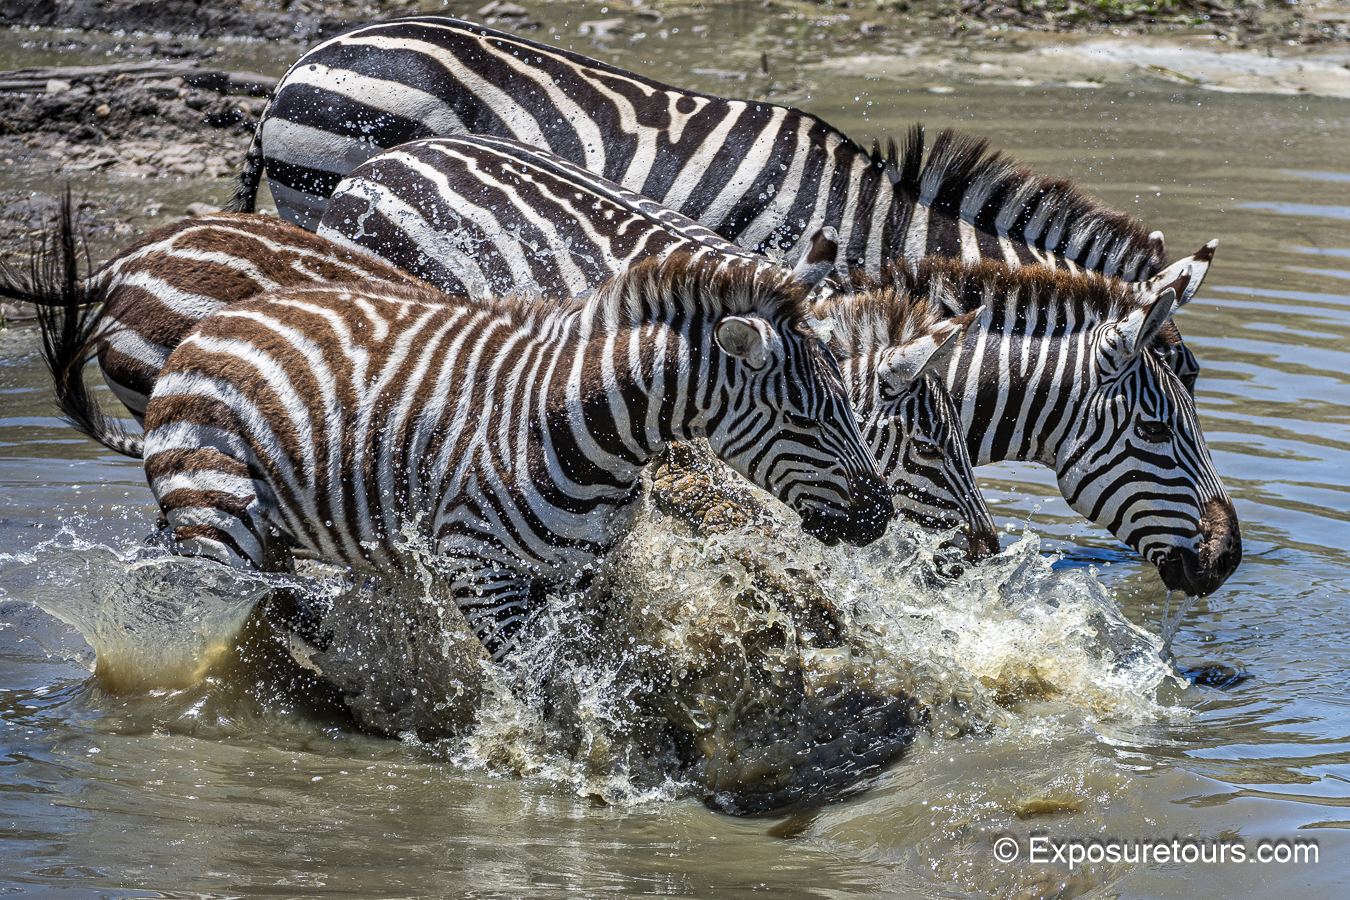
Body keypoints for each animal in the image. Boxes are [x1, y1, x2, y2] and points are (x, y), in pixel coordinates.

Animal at [37, 238, 894, 658]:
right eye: (806, 420)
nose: (881, 518)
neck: (582, 426)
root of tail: (206, 330)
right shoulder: (478, 570)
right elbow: (544, 694)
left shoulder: (578, 573)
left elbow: (586, 676)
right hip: (220, 514)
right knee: (220, 609)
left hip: (235, 523)